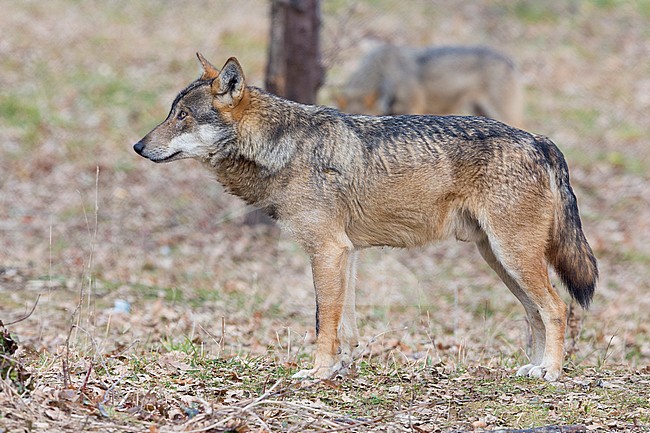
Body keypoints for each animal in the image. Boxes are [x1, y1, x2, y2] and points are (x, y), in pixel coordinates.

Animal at [133, 53, 597, 382]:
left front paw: (317, 373)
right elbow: (346, 326)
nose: (137, 146)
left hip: (512, 256)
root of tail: (539, 140)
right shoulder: (347, 252)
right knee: (536, 313)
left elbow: (323, 320)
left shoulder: (327, 250)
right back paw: (533, 368)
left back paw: (551, 372)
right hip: (500, 260)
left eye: (182, 116)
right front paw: (341, 370)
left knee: (557, 307)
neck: (283, 147)